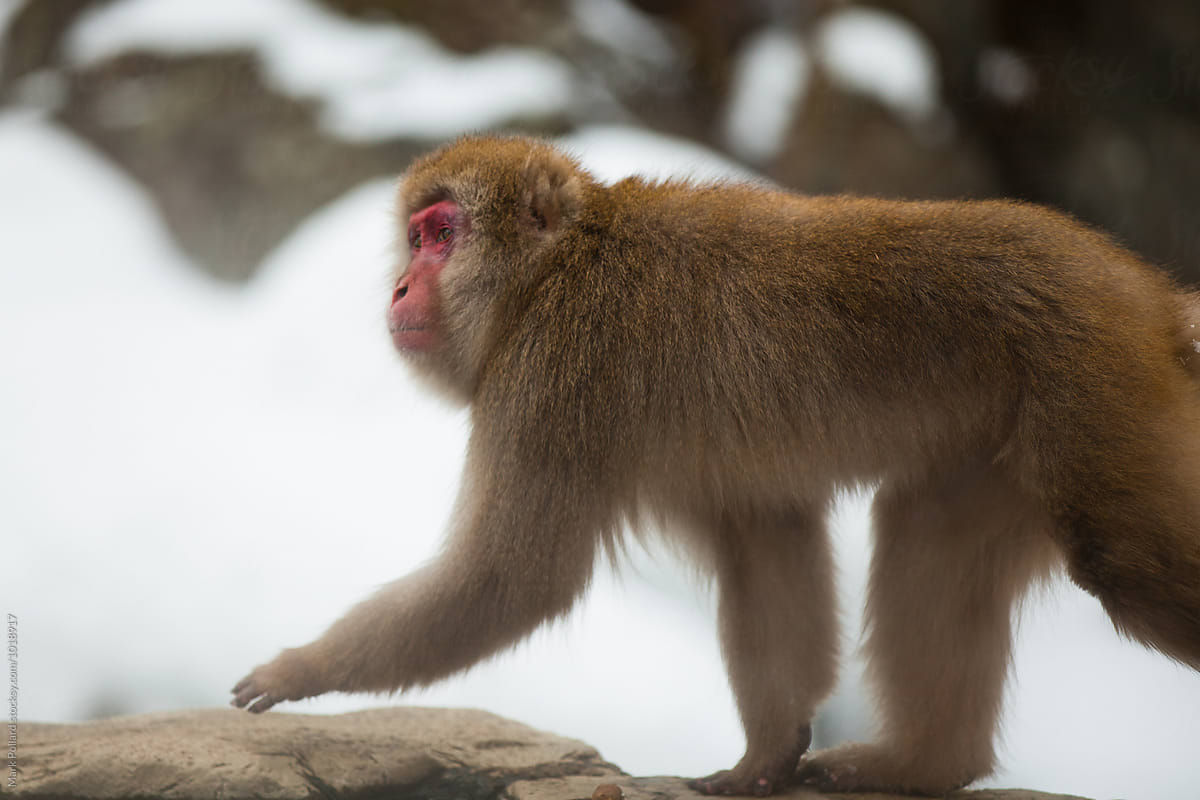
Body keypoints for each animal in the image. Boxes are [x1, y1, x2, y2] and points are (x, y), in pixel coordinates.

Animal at [232, 135, 1200, 797]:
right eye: (414, 239)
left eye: (439, 235)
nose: (399, 288)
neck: (552, 272)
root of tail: (1148, 294)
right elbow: (763, 539)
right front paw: (763, 760)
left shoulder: (551, 375)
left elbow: (512, 576)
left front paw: (297, 671)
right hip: (1012, 439)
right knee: (931, 532)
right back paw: (924, 763)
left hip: (1093, 385)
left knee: (1128, 565)